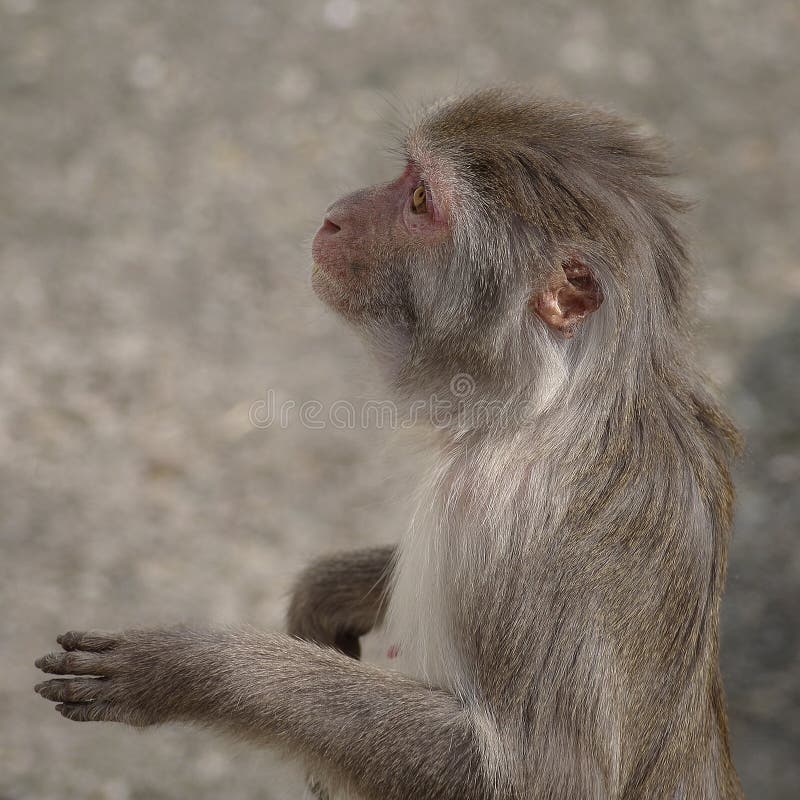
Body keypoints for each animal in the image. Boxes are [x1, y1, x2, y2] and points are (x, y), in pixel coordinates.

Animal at [35, 88, 743, 800]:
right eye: (406, 177)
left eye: (421, 201)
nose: (335, 215)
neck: (547, 405)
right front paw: (325, 594)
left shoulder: (508, 516)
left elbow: (538, 778)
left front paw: (192, 669)